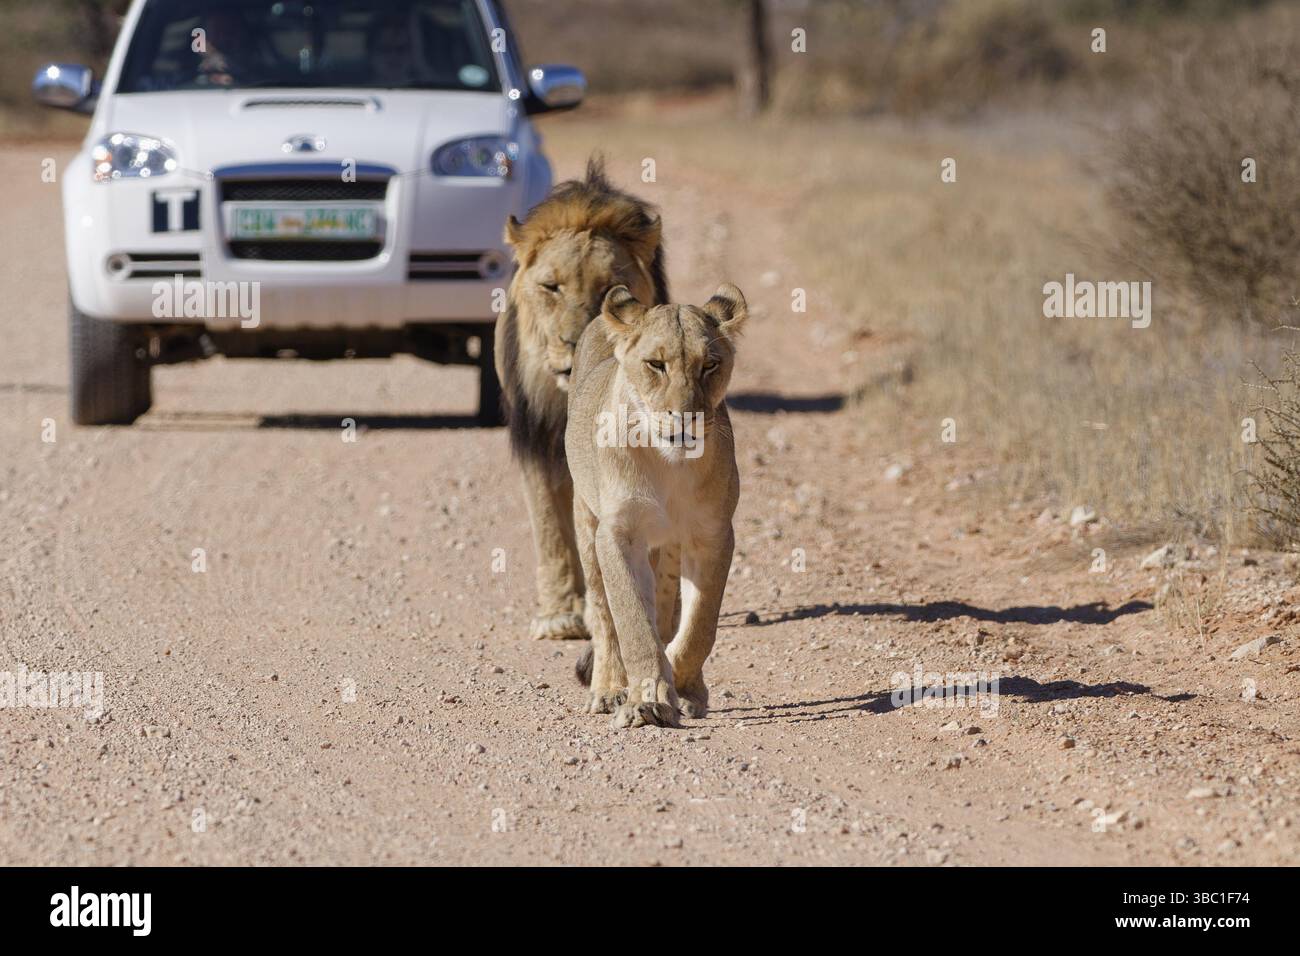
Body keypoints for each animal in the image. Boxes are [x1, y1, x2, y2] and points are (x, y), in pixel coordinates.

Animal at [496, 158, 669, 641]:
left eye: (613, 288)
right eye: (551, 287)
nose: (577, 344)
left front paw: (599, 608)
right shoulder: (535, 437)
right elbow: (550, 526)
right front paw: (559, 614)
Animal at [565, 283, 747, 728]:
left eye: (710, 365)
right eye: (656, 365)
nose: (686, 417)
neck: (670, 464)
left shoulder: (713, 534)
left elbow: (699, 626)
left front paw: (683, 687)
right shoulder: (617, 532)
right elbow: (632, 620)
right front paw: (647, 699)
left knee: (667, 610)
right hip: (585, 520)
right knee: (603, 615)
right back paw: (609, 689)